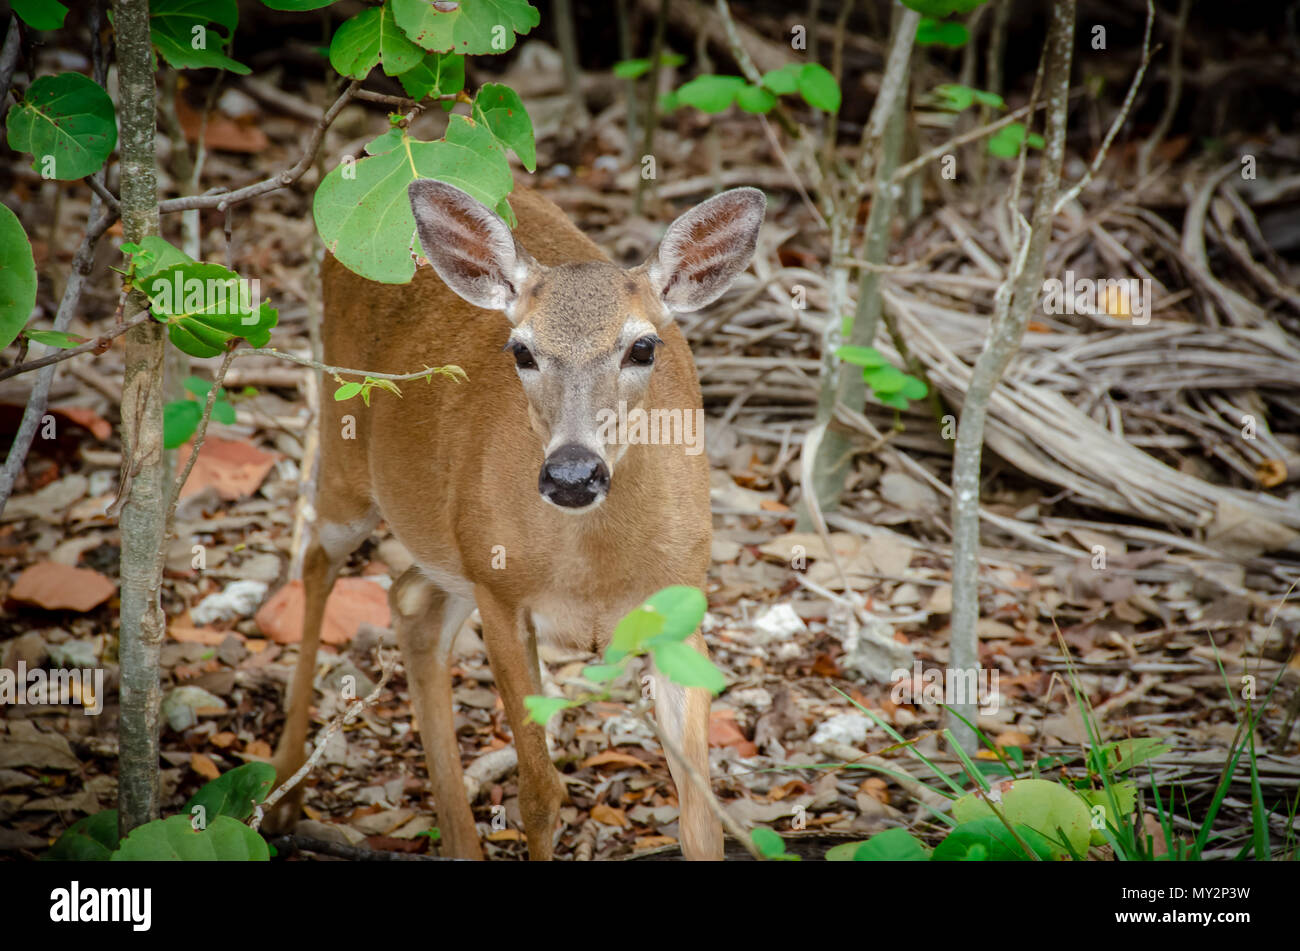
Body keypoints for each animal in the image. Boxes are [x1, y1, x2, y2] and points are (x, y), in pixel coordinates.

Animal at [266, 178, 765, 861]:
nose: (572, 473)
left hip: (450, 541)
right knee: (320, 562)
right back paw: (282, 794)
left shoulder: (678, 605)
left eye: (642, 346)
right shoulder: (501, 593)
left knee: (411, 597)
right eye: (522, 350)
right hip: (352, 455)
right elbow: (539, 793)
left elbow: (700, 815)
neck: (594, 573)